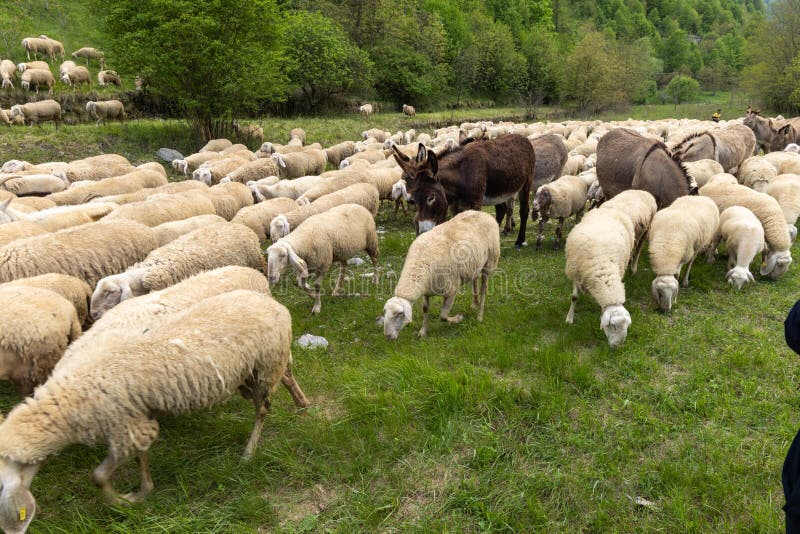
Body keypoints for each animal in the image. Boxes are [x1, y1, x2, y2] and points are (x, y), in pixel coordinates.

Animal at [0, 290, 304, 534]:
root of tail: (273, 302)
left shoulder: (123, 426)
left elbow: (98, 477)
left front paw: (123, 502)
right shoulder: (134, 421)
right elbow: (140, 456)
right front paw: (144, 489)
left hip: (266, 364)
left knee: (263, 408)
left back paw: (249, 452)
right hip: (247, 373)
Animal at [382, 210, 500, 339]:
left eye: (399, 314)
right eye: (385, 311)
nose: (387, 336)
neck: (420, 264)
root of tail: (484, 213)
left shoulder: (451, 289)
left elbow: (443, 316)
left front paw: (458, 318)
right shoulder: (427, 290)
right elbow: (425, 309)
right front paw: (423, 331)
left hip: (490, 262)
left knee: (484, 288)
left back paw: (480, 315)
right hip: (475, 264)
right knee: (475, 280)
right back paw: (475, 303)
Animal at [564, 207, 635, 348]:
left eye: (627, 327)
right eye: (612, 325)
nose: (616, 347)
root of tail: (610, 208)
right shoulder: (575, 273)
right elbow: (574, 297)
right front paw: (569, 318)